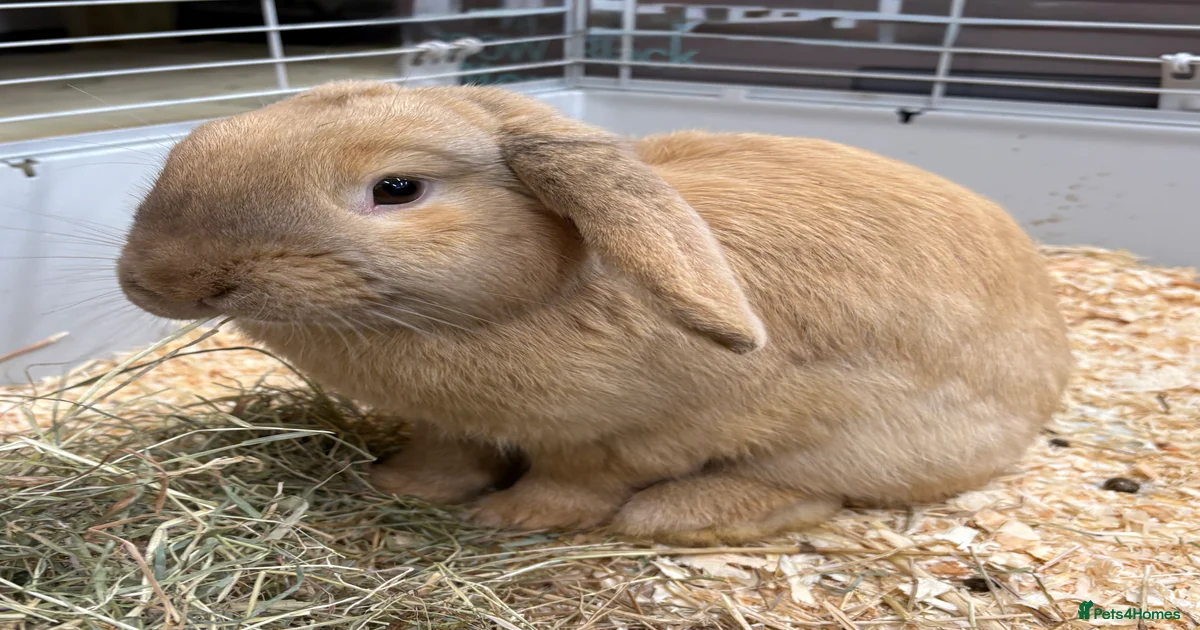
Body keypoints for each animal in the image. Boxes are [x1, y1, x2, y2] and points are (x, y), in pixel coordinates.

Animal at [116, 80, 1074, 545]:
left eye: (398, 188)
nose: (159, 279)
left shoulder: (633, 437)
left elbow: (579, 480)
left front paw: (512, 521)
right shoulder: (447, 423)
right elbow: (445, 454)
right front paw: (399, 487)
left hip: (867, 443)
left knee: (811, 491)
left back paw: (680, 517)